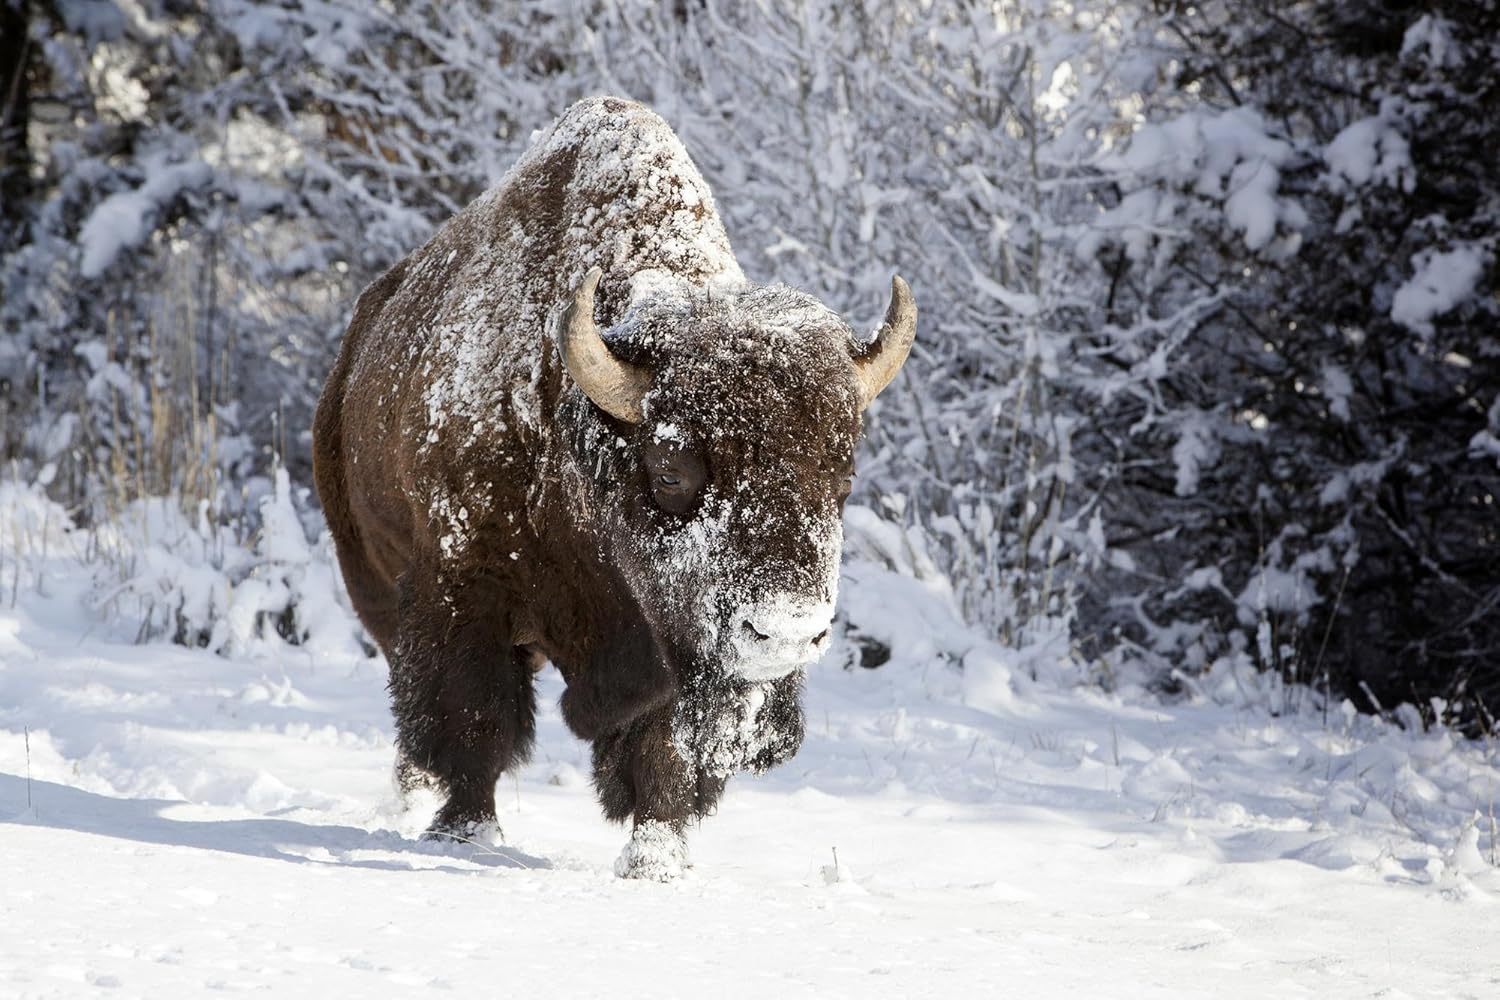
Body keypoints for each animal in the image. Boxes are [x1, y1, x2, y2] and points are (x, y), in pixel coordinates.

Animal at [312, 97, 915, 878]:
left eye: (842, 475)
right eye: (671, 470)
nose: (783, 632)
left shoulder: (664, 646)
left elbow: (661, 753)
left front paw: (657, 861)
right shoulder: (460, 595)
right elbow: (473, 722)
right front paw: (464, 834)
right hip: (375, 588)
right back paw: (413, 808)